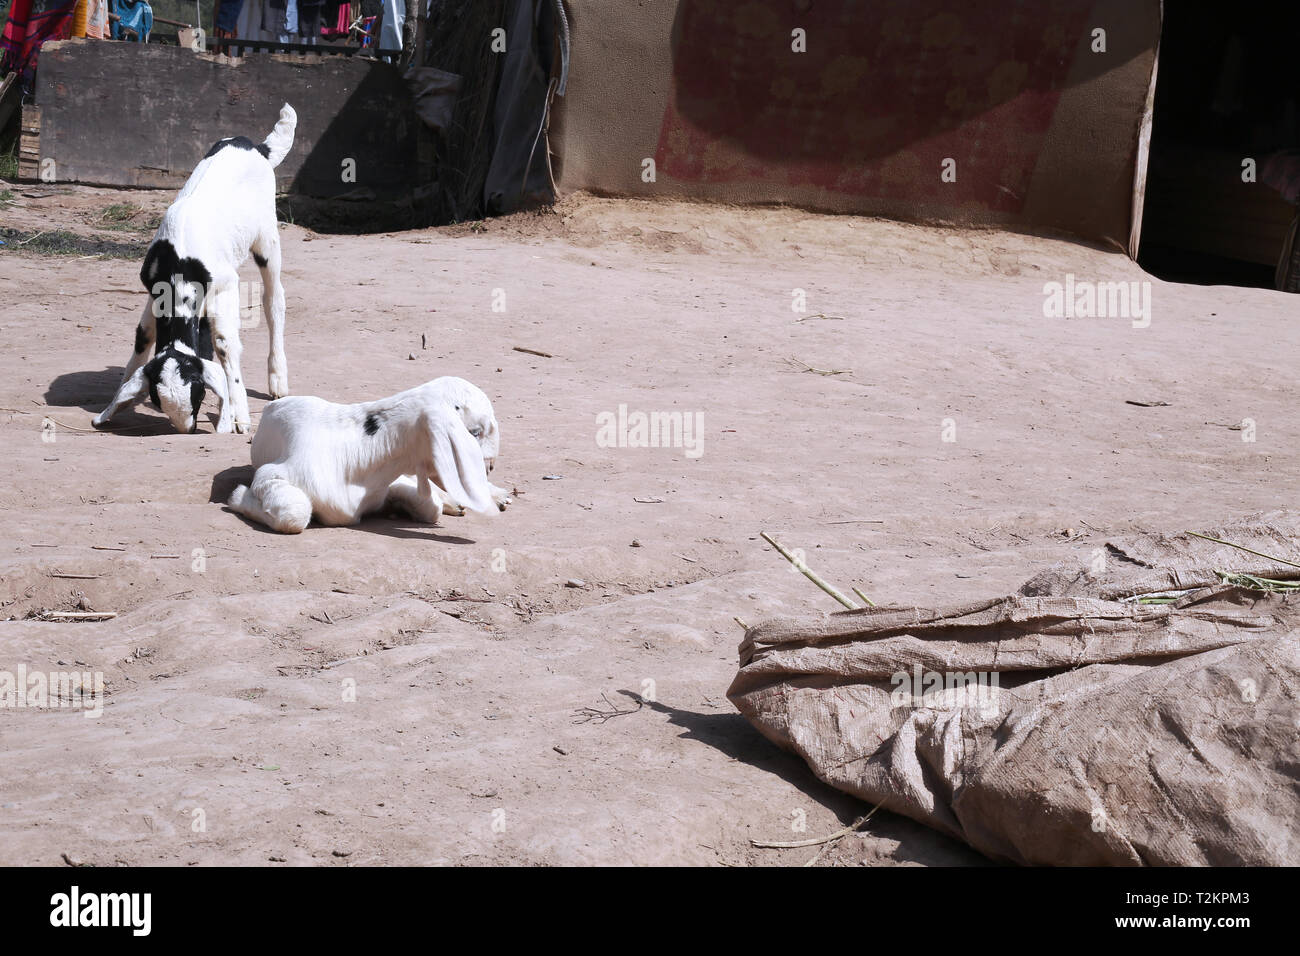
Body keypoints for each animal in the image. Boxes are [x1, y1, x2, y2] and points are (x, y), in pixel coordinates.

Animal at [93, 103, 297, 434]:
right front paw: (122, 392)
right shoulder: (153, 289)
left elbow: (225, 343)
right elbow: (143, 335)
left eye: (199, 393)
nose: (187, 430)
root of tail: (255, 146)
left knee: (273, 298)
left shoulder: (226, 285)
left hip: (267, 235)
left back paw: (277, 379)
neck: (179, 265)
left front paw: (240, 416)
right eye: (158, 399)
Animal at [226, 377, 512, 534]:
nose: (490, 467)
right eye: (475, 432)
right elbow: (293, 514)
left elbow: (430, 507)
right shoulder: (271, 475)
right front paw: (238, 497)